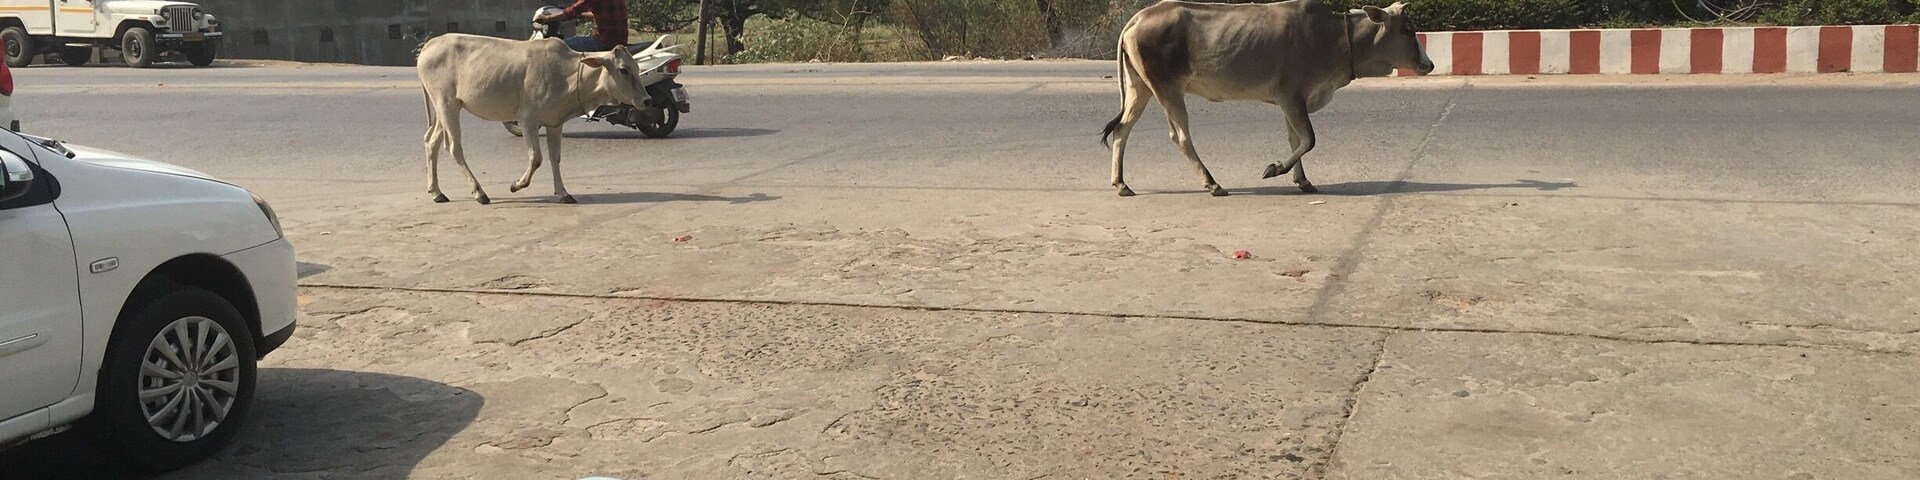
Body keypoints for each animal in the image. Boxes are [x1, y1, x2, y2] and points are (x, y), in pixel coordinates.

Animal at [417, 33, 652, 204]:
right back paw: (479, 192)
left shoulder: (555, 123)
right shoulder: (528, 119)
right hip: (447, 104)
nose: (647, 100)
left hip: (443, 109)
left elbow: (555, 158)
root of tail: (430, 44)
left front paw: (563, 193)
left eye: (637, 68)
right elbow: (536, 158)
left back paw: (436, 192)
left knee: (431, 142)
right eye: (623, 70)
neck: (566, 73)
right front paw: (516, 185)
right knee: (454, 147)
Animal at [1099, 0, 1435, 197]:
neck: (1338, 38)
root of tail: (1138, 17)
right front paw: (1275, 169)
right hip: (1167, 89)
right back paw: (1212, 183)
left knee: (1122, 130)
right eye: (1407, 30)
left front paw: (1303, 181)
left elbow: (1296, 140)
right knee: (1179, 136)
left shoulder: (1292, 102)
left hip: (1140, 87)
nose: (1428, 64)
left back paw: (1121, 183)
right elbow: (1309, 140)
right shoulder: (1292, 97)